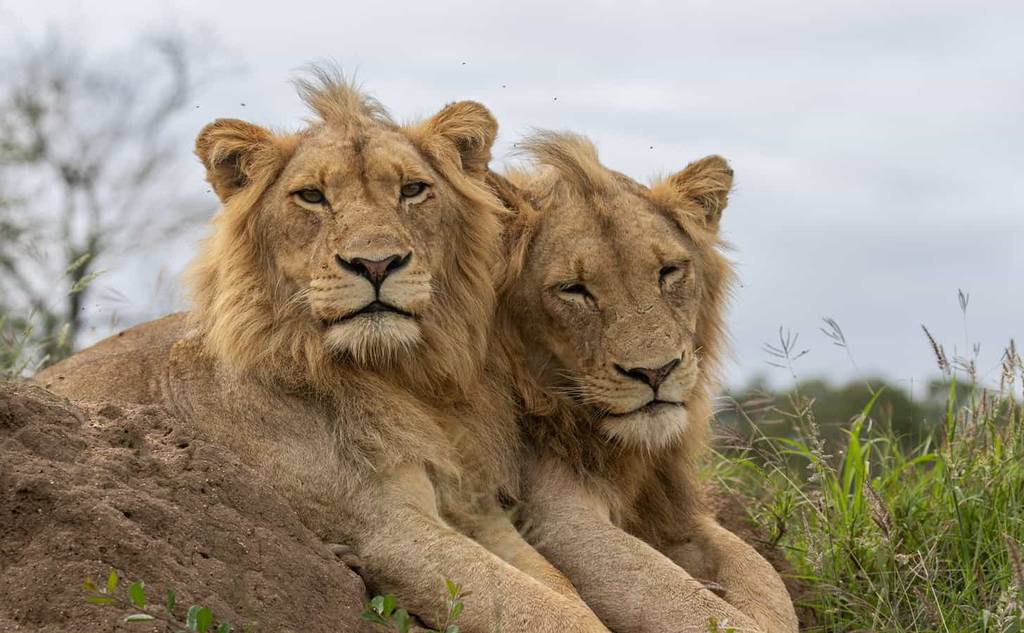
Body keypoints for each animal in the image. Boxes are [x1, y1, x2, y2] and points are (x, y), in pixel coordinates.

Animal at [33, 73, 609, 633]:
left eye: (413, 190)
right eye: (311, 196)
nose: (376, 265)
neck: (401, 377)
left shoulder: (477, 507)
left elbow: (562, 590)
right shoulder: (386, 527)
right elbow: (543, 610)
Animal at [493, 132, 800, 633]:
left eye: (668, 271)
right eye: (574, 289)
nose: (656, 371)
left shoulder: (671, 502)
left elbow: (766, 580)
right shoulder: (551, 518)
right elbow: (690, 605)